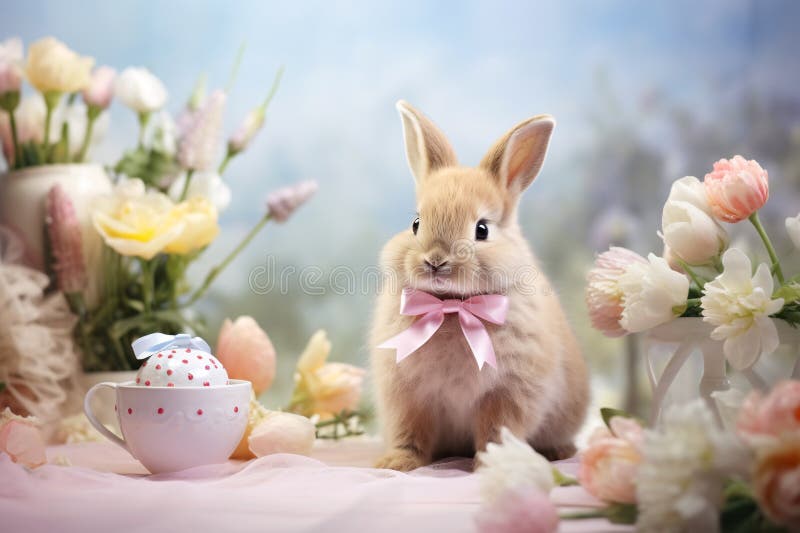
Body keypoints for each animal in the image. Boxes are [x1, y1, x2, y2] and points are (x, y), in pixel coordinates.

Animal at [370, 100, 589, 471]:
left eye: (482, 229)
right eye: (415, 223)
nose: (435, 261)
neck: (452, 306)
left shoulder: (508, 394)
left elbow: (497, 432)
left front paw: (492, 466)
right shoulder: (407, 395)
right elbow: (409, 432)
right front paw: (396, 463)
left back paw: (558, 452)